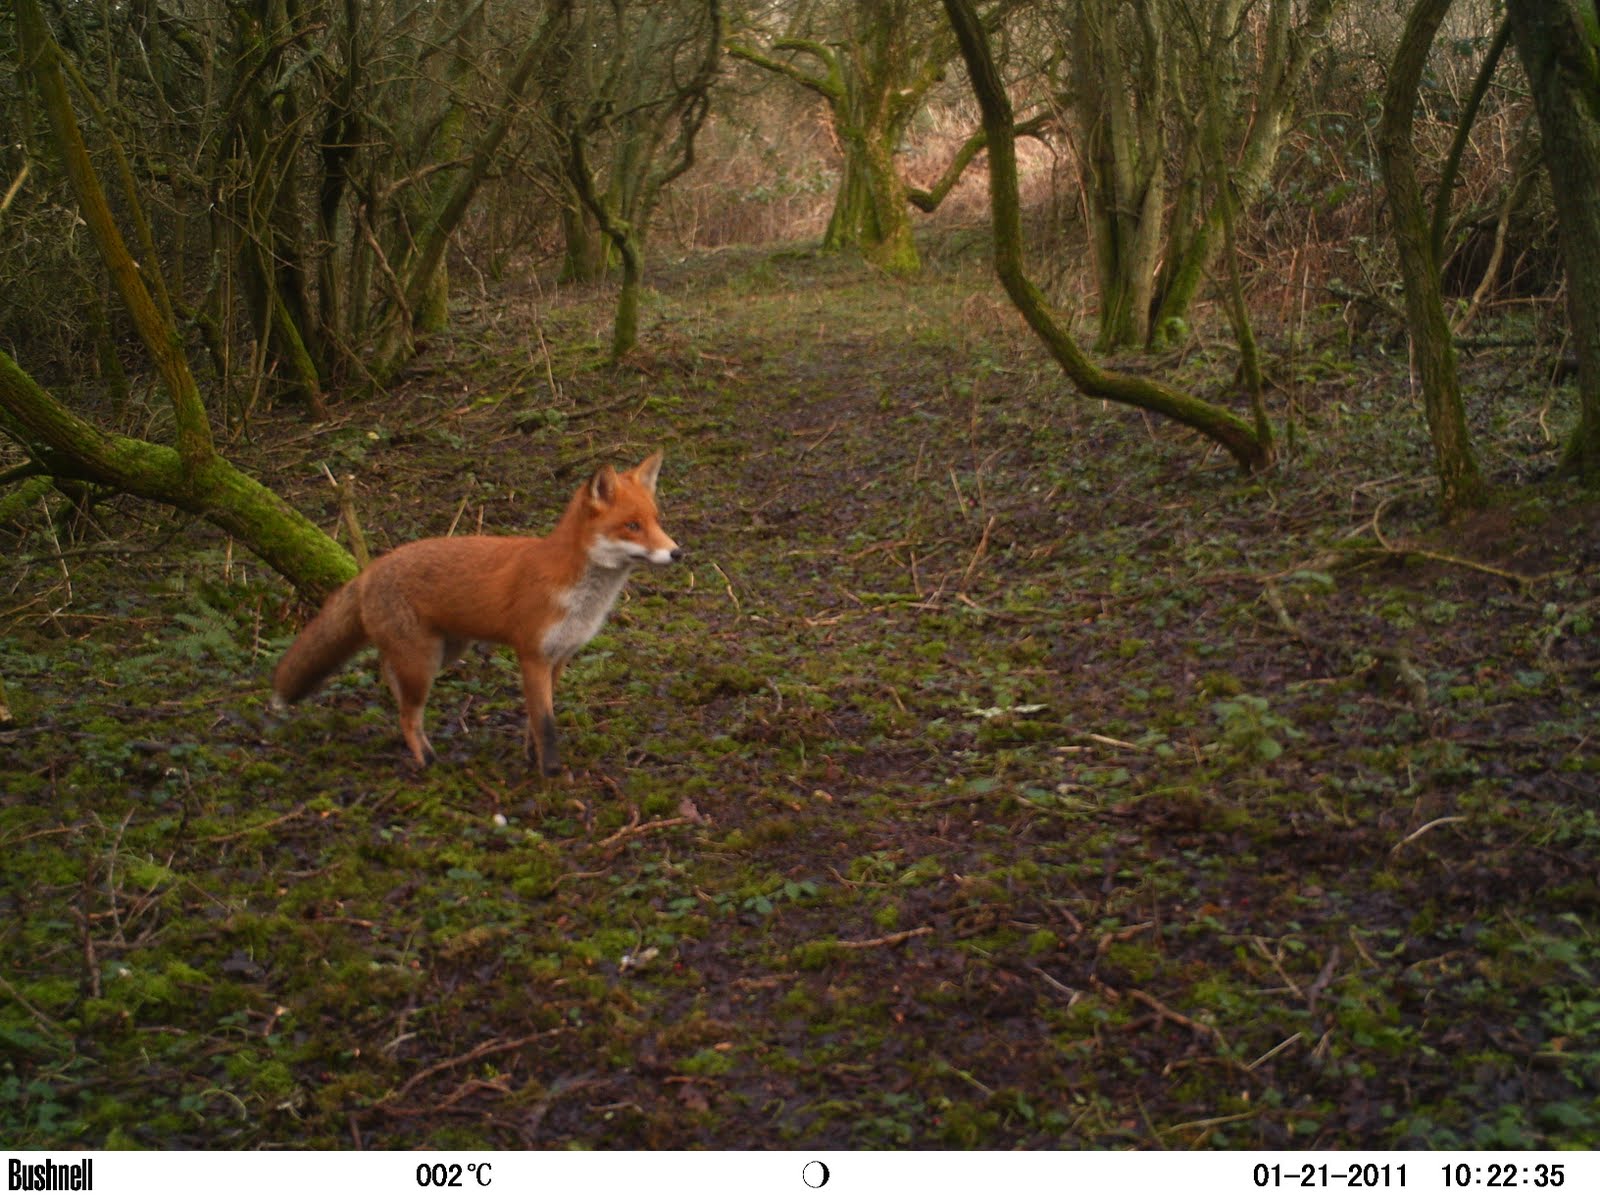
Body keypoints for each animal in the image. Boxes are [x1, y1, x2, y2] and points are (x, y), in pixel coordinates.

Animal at [271, 451, 682, 774]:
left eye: (656, 521)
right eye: (632, 526)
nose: (677, 553)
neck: (579, 594)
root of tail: (368, 570)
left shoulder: (560, 658)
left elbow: (535, 720)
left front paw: (532, 757)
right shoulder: (532, 655)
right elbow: (546, 724)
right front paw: (552, 774)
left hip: (444, 652)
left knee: (389, 675)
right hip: (423, 662)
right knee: (408, 712)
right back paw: (426, 759)